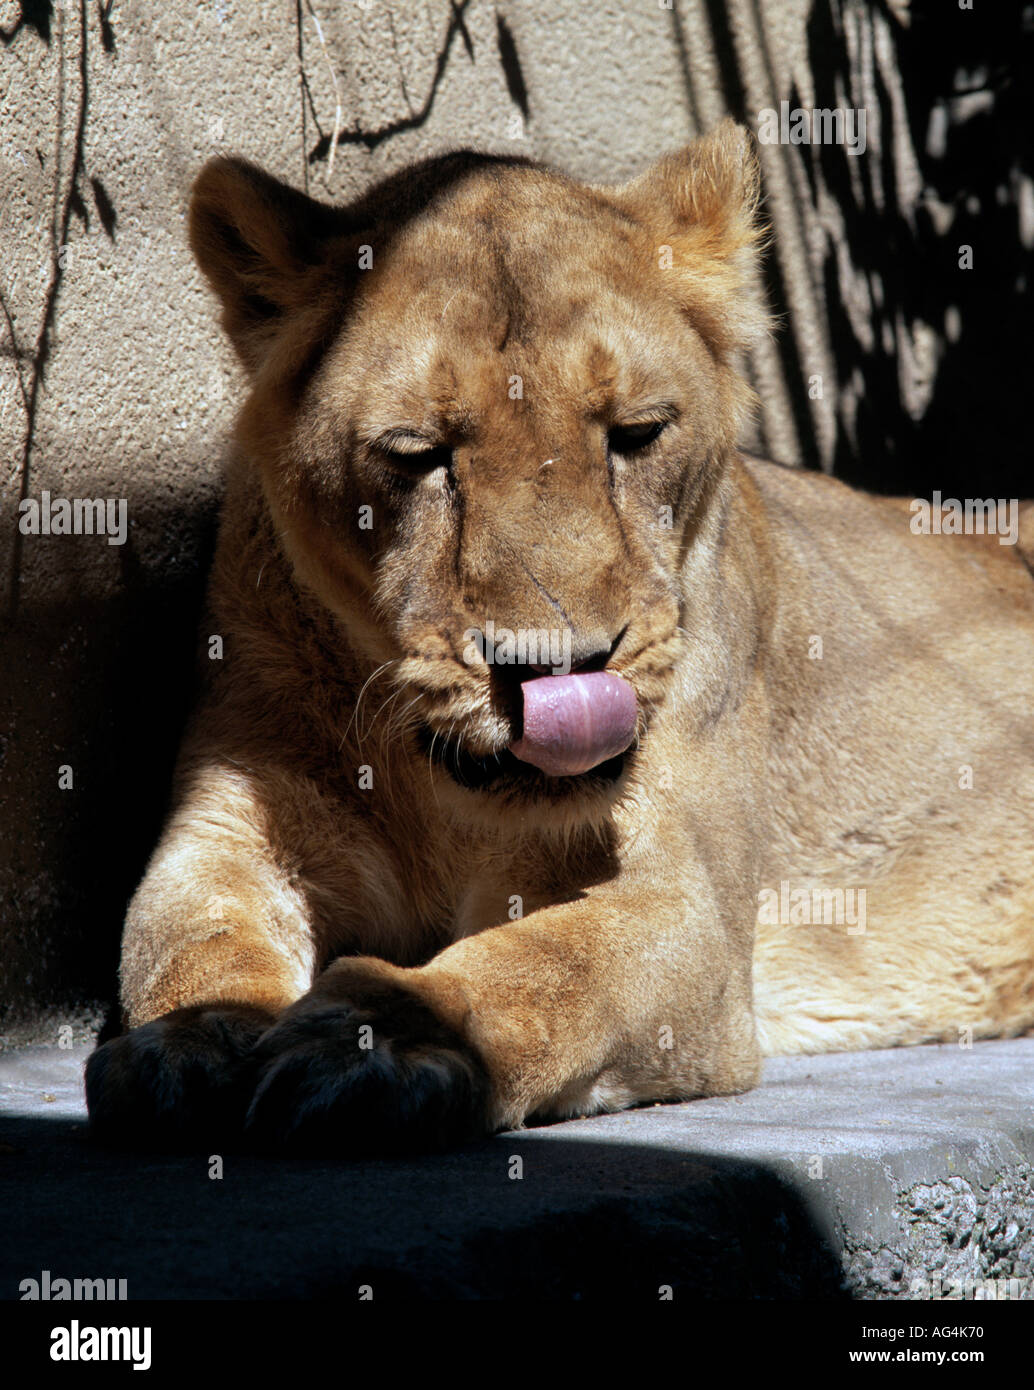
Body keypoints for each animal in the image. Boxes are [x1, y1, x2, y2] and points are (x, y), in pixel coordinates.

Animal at [84, 122, 1034, 1153]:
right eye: (417, 453)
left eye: (637, 432)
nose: (562, 668)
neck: (442, 798)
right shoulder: (231, 828)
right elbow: (187, 937)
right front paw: (193, 1039)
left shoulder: (684, 905)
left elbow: (540, 968)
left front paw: (381, 1040)